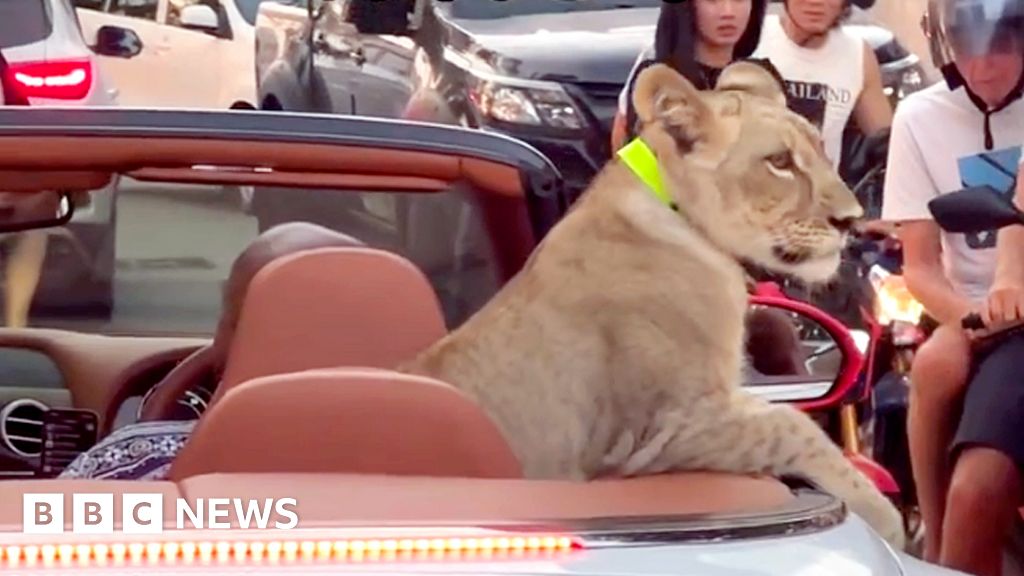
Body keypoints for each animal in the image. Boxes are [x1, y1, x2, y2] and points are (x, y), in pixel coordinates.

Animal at [399, 61, 905, 549]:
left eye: (821, 150)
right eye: (779, 161)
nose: (853, 220)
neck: (682, 217)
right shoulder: (656, 431)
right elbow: (791, 425)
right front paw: (887, 518)